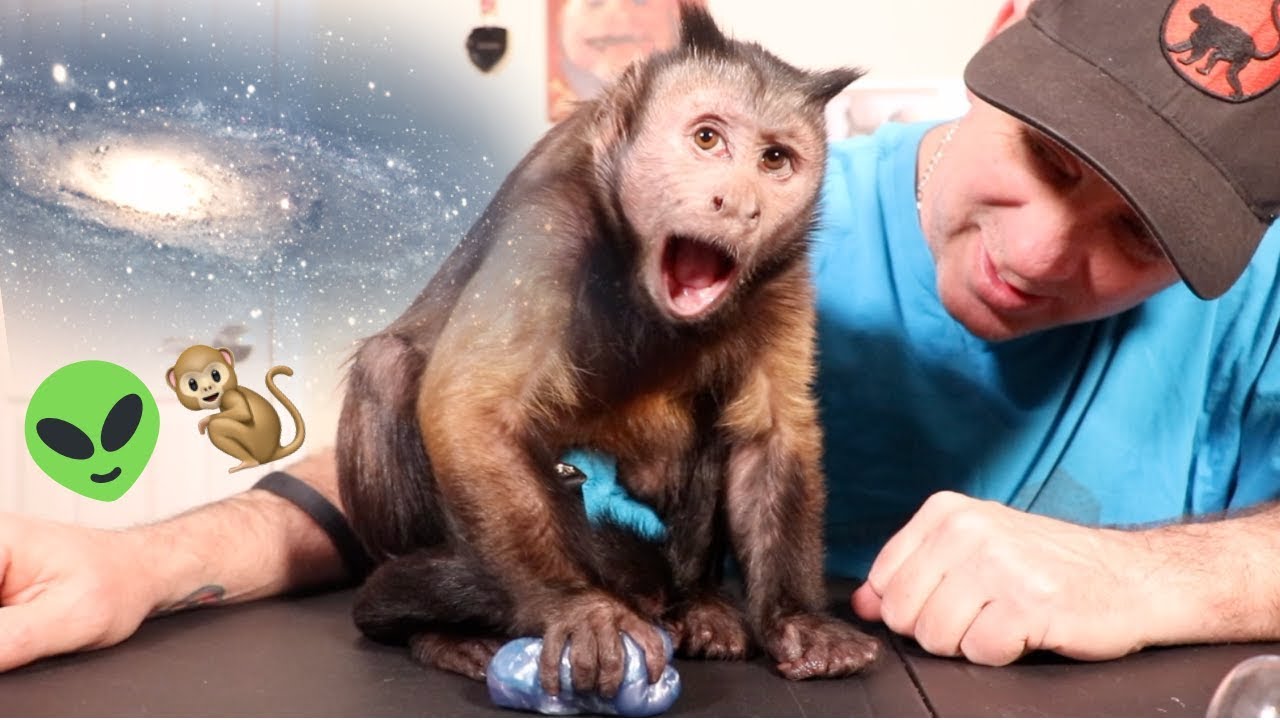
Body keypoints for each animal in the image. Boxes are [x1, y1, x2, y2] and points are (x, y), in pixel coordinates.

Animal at [166, 344, 305, 473]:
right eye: (192, 384)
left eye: (215, 375)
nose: (207, 387)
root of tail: (274, 450)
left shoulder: (230, 395)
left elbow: (243, 413)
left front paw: (205, 420)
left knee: (217, 426)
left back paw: (249, 462)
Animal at [337, 3, 879, 700]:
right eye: (708, 140)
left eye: (776, 159)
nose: (737, 203)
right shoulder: (551, 223)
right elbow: (470, 411)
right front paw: (581, 608)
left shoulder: (782, 274)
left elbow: (771, 436)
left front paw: (796, 618)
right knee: (387, 367)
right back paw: (443, 631)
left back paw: (696, 604)